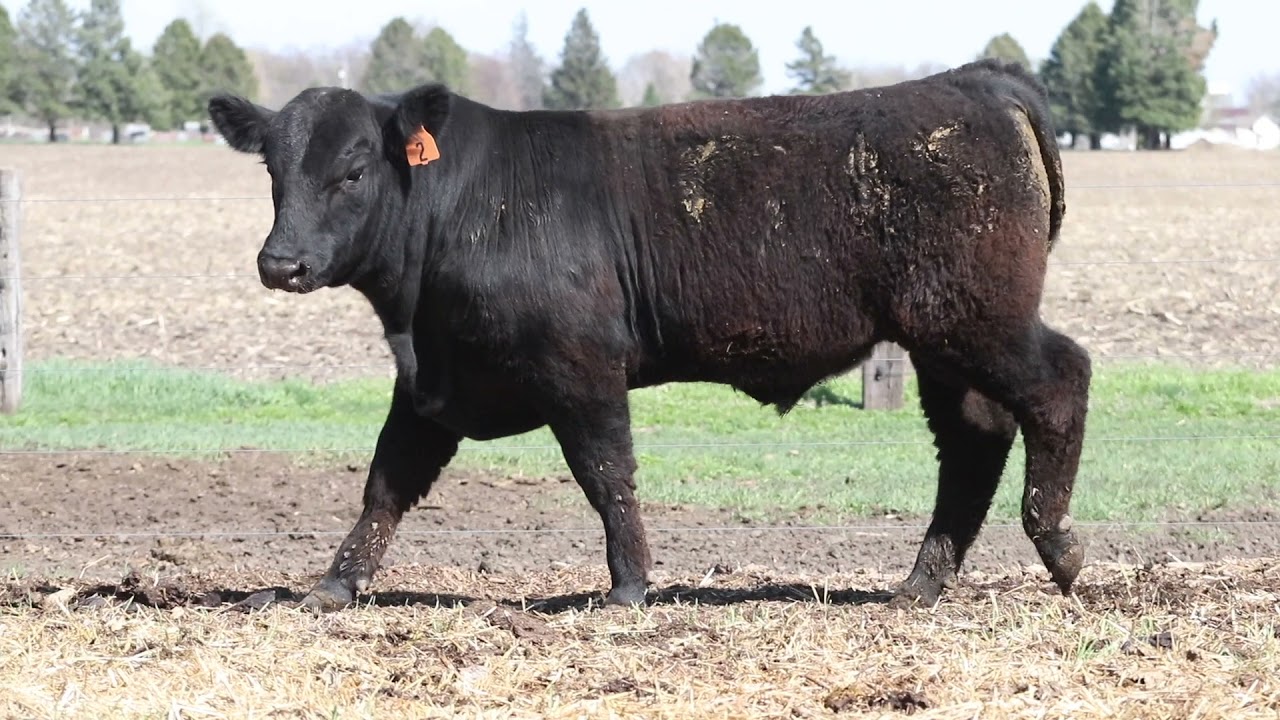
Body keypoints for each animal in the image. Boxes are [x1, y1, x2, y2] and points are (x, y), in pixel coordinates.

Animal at [207, 58, 1091, 612]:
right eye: (274, 173)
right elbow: (386, 483)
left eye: (354, 171)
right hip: (944, 340)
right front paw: (332, 584)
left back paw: (1058, 546)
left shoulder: (582, 368)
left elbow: (608, 475)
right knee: (975, 438)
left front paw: (629, 587)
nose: (280, 262)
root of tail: (973, 81)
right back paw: (921, 583)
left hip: (978, 319)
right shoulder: (432, 385)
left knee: (1061, 379)